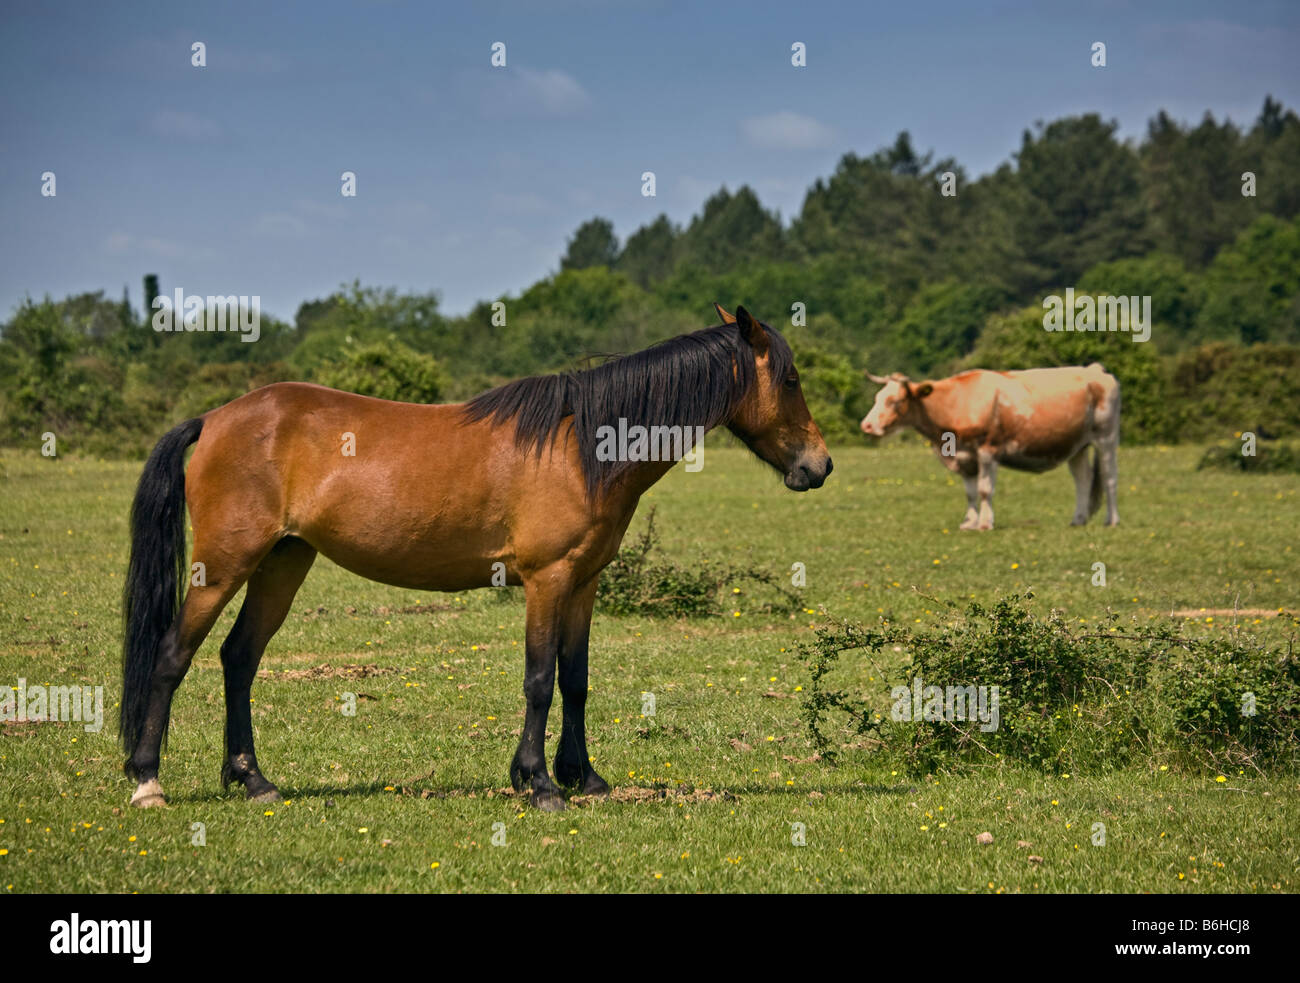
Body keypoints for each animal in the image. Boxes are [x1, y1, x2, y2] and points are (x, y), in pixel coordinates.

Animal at [120, 304, 833, 811]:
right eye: (791, 379)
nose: (818, 466)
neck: (582, 447)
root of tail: (215, 419)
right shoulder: (547, 580)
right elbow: (540, 679)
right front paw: (538, 783)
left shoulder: (584, 584)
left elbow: (575, 679)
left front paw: (584, 777)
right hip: (224, 565)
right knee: (172, 656)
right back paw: (148, 781)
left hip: (283, 562)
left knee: (239, 659)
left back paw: (253, 780)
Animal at [859, 364, 1120, 530]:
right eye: (877, 398)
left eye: (895, 401)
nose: (867, 425)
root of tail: (1095, 369)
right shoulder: (964, 457)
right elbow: (971, 492)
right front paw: (969, 523)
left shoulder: (987, 450)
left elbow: (984, 489)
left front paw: (985, 523)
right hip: (1077, 445)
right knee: (1083, 479)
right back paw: (1079, 519)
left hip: (1106, 437)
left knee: (1109, 478)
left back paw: (1112, 520)